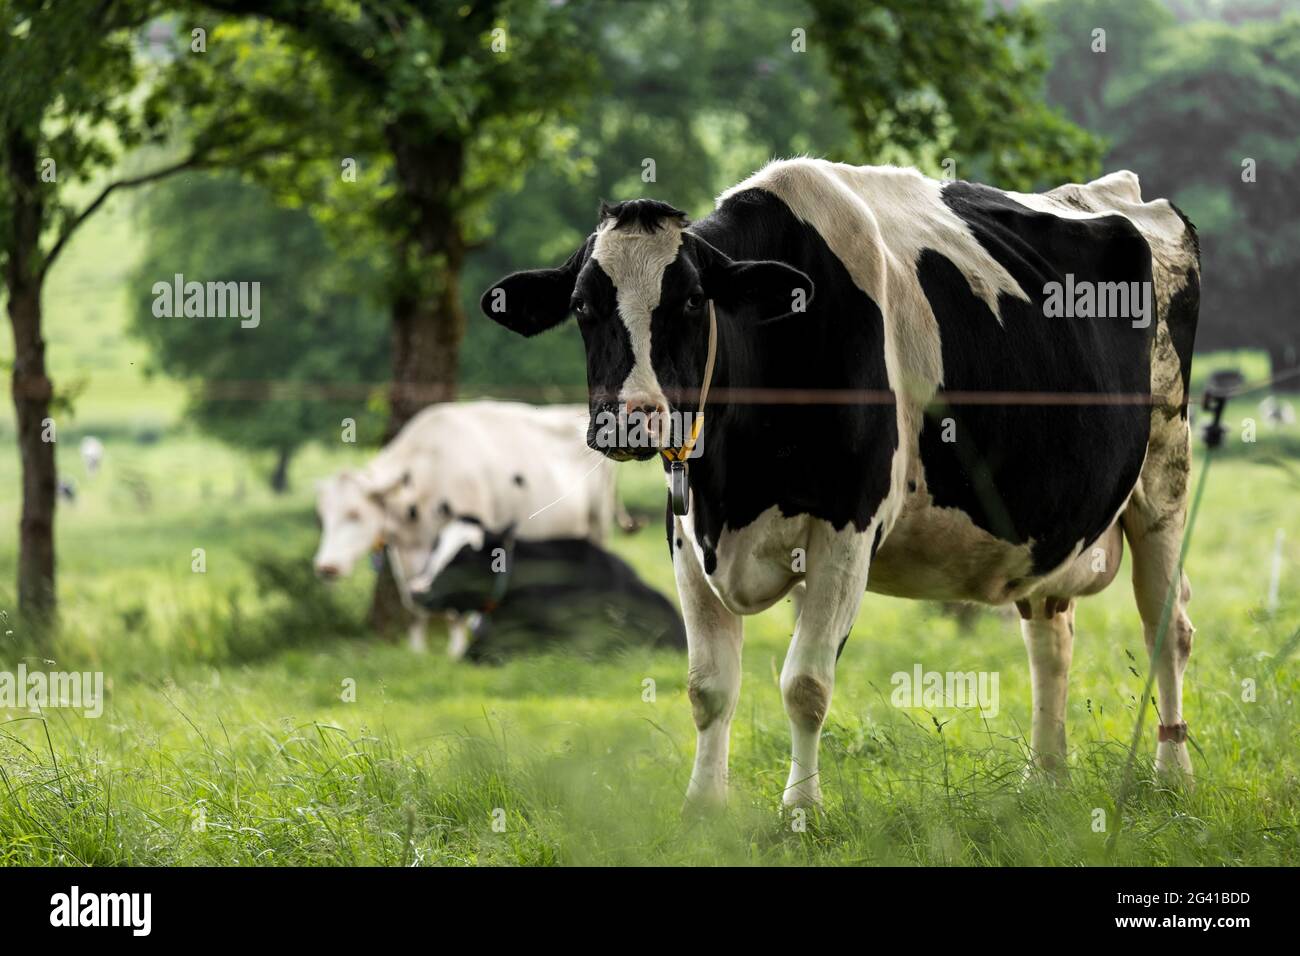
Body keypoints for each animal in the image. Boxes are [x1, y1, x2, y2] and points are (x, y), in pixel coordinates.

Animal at [313, 400, 622, 654]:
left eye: (356, 514)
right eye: (323, 517)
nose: (326, 567)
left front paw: (455, 651)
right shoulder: (410, 555)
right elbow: (414, 605)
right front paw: (417, 651)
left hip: (598, 524)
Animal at [481, 158, 1201, 810]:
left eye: (689, 300)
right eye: (582, 306)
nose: (632, 420)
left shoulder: (847, 531)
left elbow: (805, 684)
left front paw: (800, 811)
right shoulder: (689, 536)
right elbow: (708, 687)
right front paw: (703, 809)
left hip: (1164, 479)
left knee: (1166, 627)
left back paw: (1172, 775)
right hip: (1048, 526)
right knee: (1050, 639)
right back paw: (1044, 781)